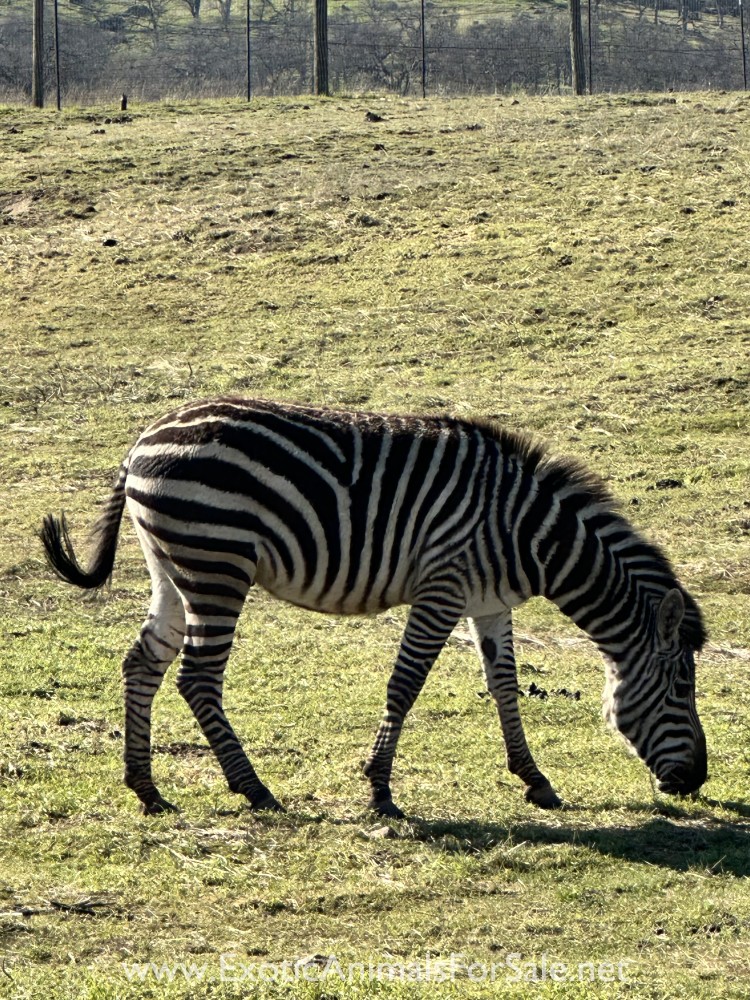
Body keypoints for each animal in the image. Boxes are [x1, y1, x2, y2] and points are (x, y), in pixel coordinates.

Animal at [40, 397, 707, 818]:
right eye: (681, 688)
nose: (696, 781)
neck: (530, 533)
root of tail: (140, 443)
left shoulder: (489, 602)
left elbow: (506, 686)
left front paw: (535, 780)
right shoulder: (443, 587)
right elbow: (405, 684)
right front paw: (380, 791)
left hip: (172, 567)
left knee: (143, 663)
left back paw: (146, 789)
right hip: (217, 565)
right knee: (198, 678)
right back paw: (253, 789)